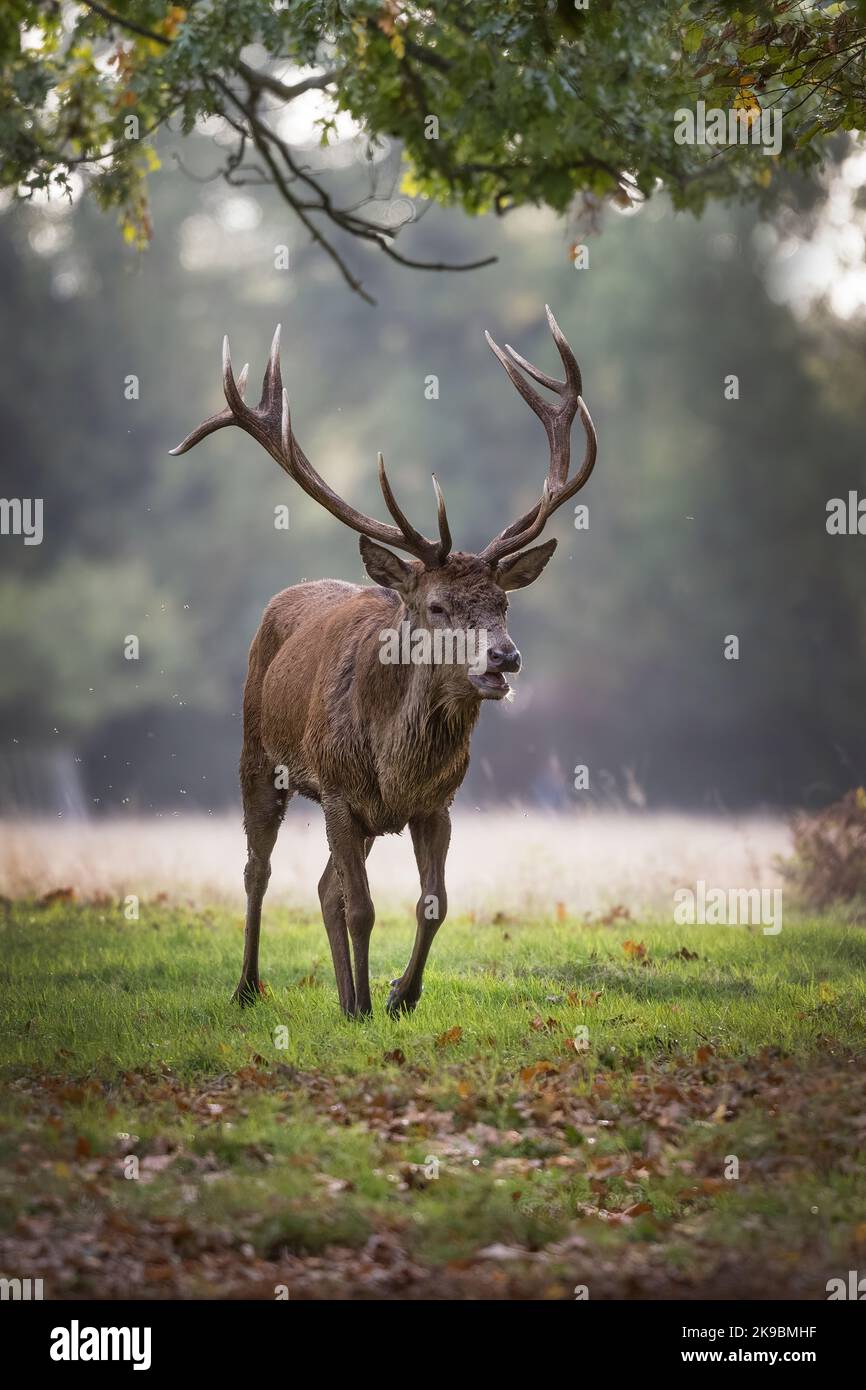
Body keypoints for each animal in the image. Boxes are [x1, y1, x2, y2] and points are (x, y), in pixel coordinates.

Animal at [170, 307, 597, 1017]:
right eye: (437, 604)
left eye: (504, 602)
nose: (505, 658)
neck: (396, 762)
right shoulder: (340, 794)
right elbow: (362, 908)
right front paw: (368, 1004)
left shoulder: (436, 803)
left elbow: (432, 903)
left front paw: (397, 994)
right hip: (257, 751)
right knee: (259, 871)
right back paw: (249, 987)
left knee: (322, 888)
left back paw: (344, 992)